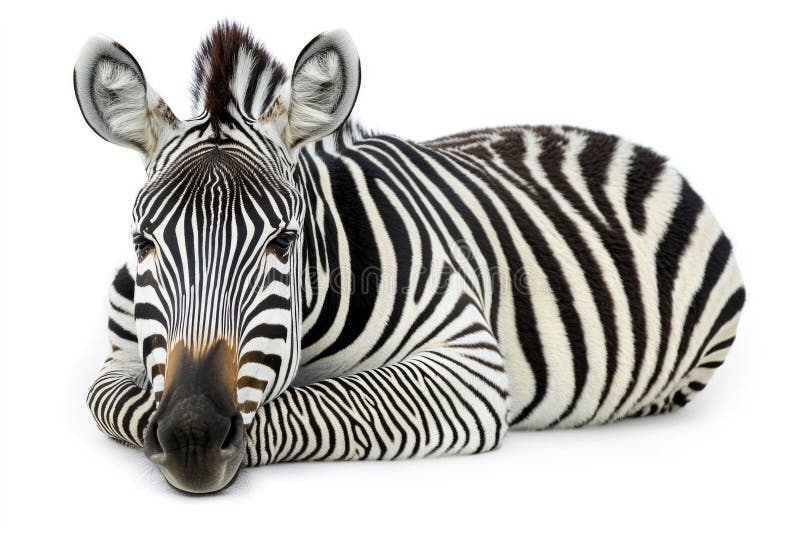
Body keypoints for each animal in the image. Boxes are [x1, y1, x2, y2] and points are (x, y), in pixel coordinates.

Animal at [75, 22, 745, 493]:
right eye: (143, 243)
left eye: (284, 243)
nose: (192, 439)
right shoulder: (119, 355)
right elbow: (118, 405)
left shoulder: (470, 361)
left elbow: (322, 404)